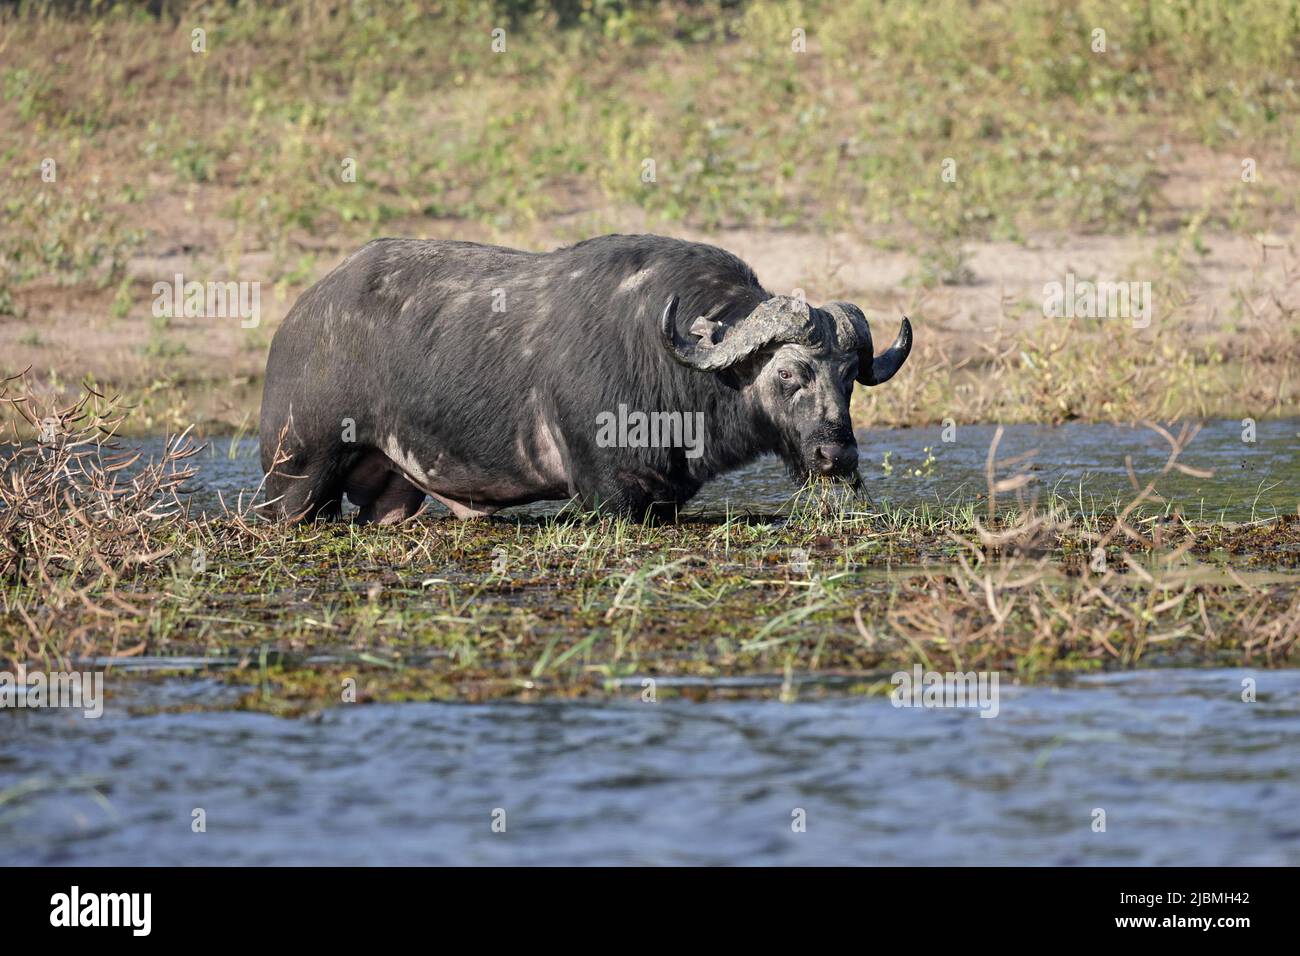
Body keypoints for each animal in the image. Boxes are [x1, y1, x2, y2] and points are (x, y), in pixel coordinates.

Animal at [258, 234, 912, 521]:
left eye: (849, 377)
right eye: (791, 371)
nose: (837, 455)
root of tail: (299, 319)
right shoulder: (607, 493)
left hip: (392, 496)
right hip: (294, 481)